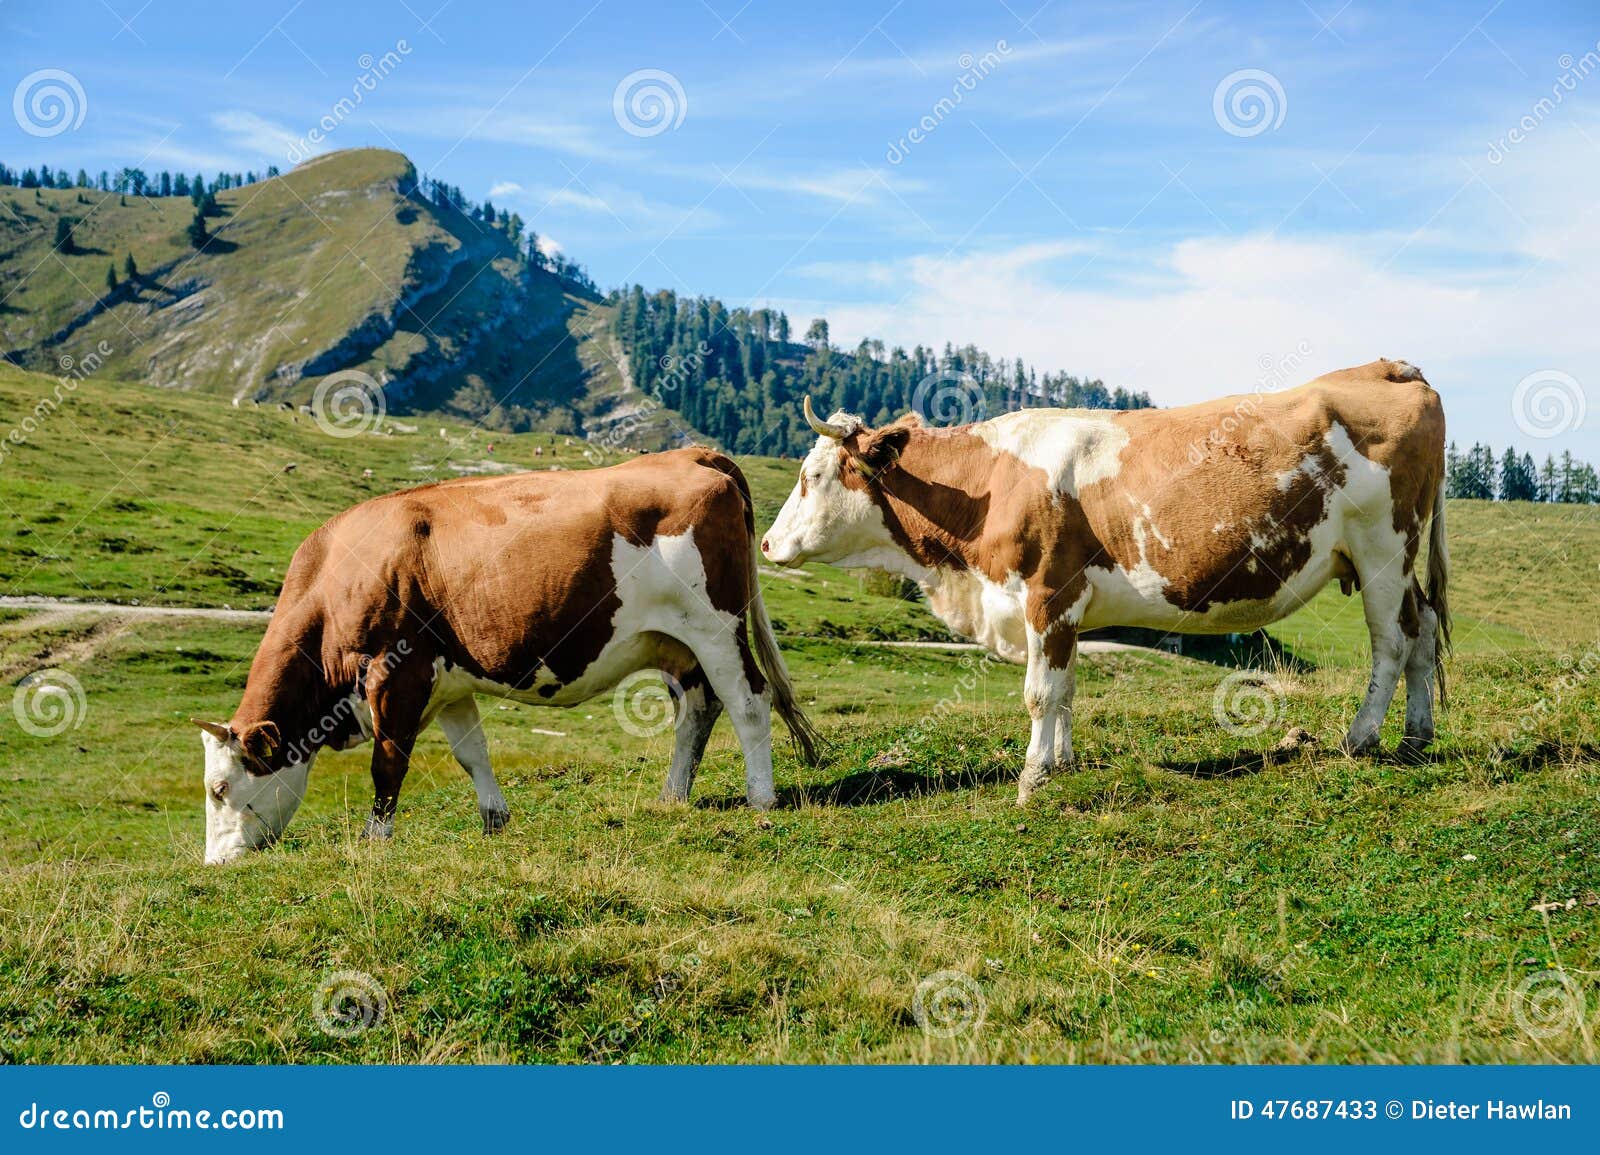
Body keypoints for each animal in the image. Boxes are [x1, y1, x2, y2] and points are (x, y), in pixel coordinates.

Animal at [195, 448, 820, 864]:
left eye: (220, 788)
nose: (215, 863)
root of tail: (691, 453)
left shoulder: (395, 672)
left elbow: (388, 761)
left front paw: (376, 839)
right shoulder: (447, 683)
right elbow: (472, 753)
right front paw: (495, 819)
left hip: (716, 625)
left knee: (748, 700)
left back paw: (761, 798)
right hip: (675, 642)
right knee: (698, 708)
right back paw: (673, 796)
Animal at [761, 359, 1449, 805]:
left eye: (811, 476)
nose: (766, 543)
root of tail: (1387, 366)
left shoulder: (1047, 595)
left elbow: (1040, 693)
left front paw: (1031, 778)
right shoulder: (1065, 611)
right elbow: (1066, 689)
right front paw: (1062, 763)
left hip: (1382, 548)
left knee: (1391, 643)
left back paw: (1362, 738)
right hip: (1392, 561)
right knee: (1423, 631)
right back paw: (1416, 737)